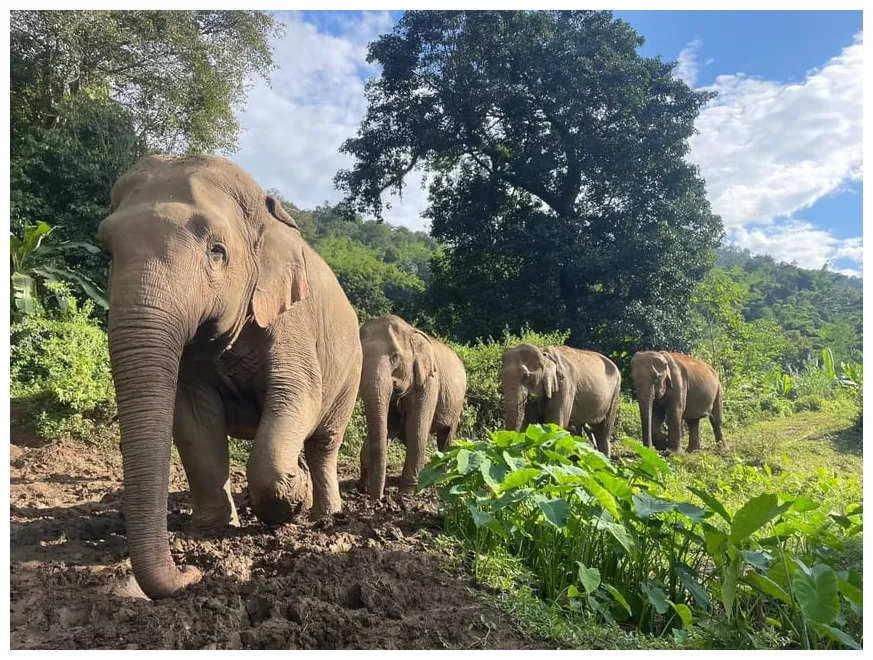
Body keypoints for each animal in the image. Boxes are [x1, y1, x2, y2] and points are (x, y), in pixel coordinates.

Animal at [97, 155, 362, 599]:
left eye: (217, 252)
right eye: (108, 251)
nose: (191, 572)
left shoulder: (292, 320)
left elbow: (297, 395)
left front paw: (292, 498)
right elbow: (193, 419)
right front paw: (212, 530)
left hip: (352, 373)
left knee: (325, 443)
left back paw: (324, 515)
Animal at [358, 315, 467, 500]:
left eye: (395, 357)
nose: (378, 499)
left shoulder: (429, 382)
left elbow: (416, 427)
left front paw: (407, 494)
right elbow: (390, 426)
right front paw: (362, 488)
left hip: (456, 404)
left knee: (445, 436)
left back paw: (440, 477)